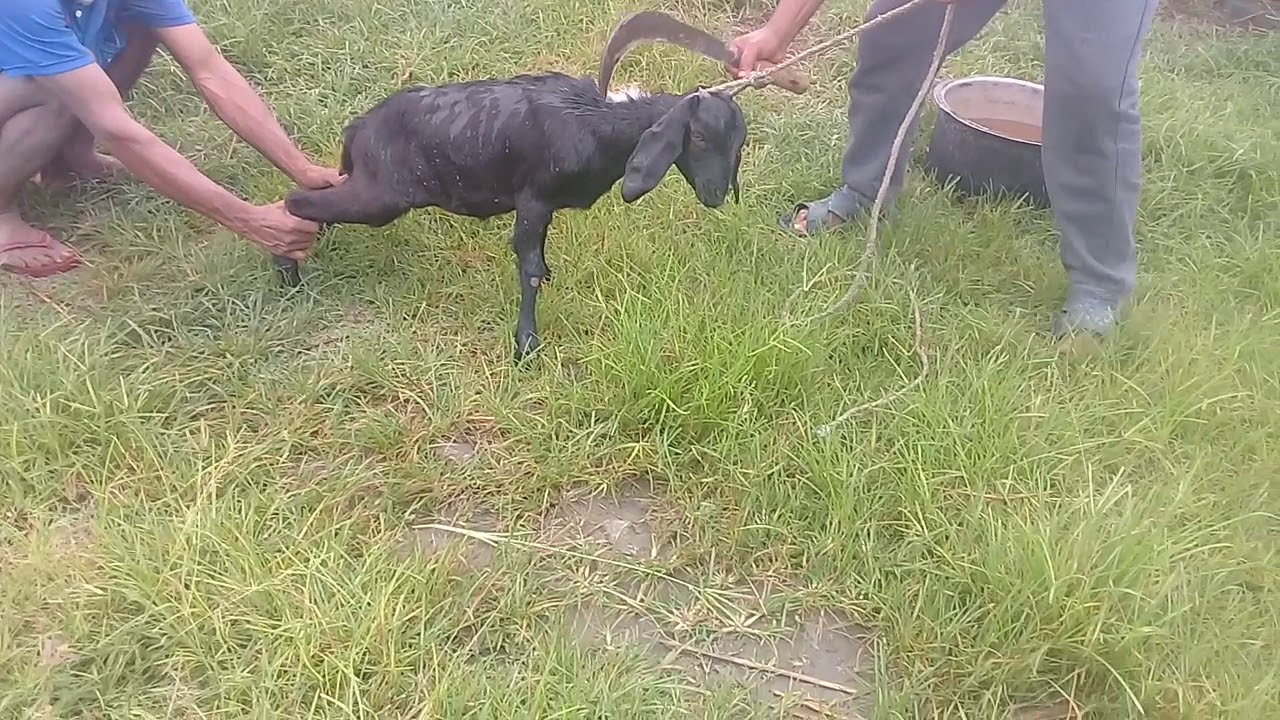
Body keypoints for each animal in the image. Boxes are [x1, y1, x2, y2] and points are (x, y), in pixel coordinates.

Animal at [282, 16, 763, 361]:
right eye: (697, 136)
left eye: (738, 144)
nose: (715, 195)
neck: (597, 123)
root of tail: (357, 131)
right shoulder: (532, 198)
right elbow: (528, 266)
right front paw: (527, 345)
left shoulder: (543, 206)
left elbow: (539, 259)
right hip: (380, 198)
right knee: (296, 200)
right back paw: (289, 275)